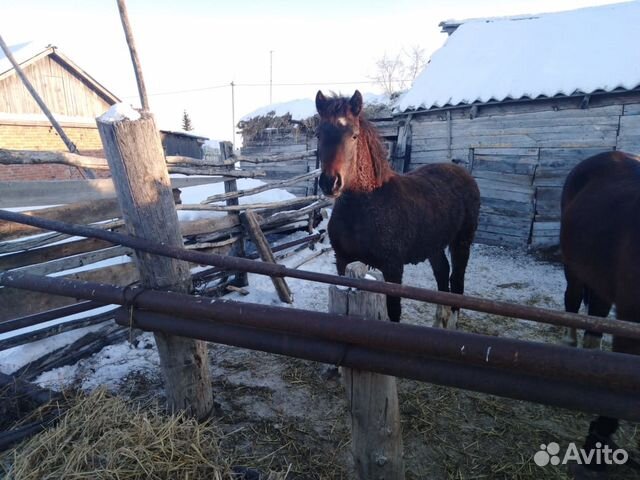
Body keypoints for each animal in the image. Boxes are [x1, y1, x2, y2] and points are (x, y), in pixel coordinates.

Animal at [315, 90, 480, 327]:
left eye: (354, 135)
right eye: (319, 134)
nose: (331, 182)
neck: (367, 205)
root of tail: (463, 173)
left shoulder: (393, 269)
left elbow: (394, 312)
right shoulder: (342, 261)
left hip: (462, 242)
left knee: (456, 282)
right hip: (434, 244)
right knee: (442, 274)